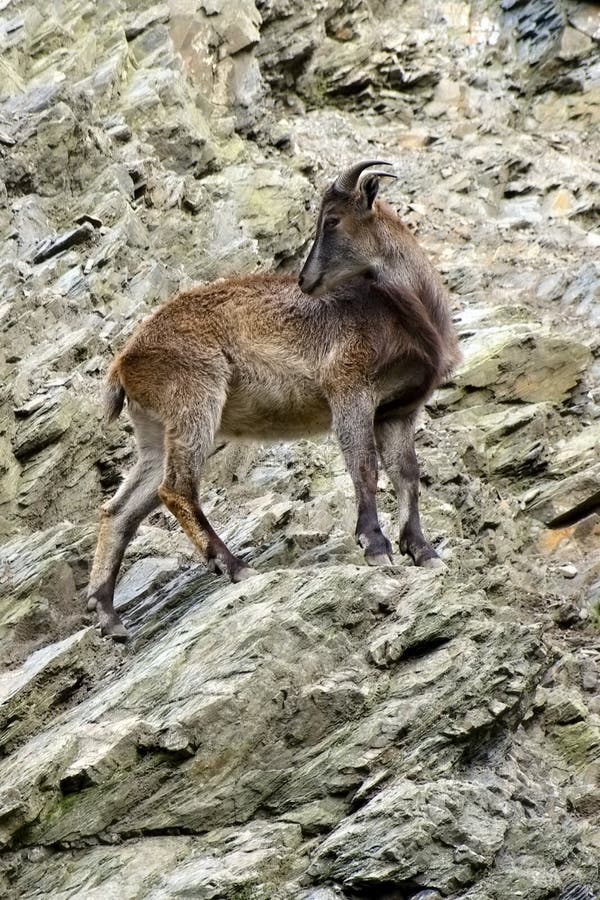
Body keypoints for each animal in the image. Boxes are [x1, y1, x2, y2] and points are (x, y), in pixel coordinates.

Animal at [87, 160, 460, 639]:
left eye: (331, 220)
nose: (304, 280)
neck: (405, 313)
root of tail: (124, 362)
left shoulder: (399, 410)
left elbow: (407, 474)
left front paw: (423, 550)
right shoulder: (350, 390)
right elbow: (364, 465)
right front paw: (375, 546)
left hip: (155, 431)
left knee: (121, 510)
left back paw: (108, 615)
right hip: (195, 401)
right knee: (176, 489)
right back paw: (234, 566)